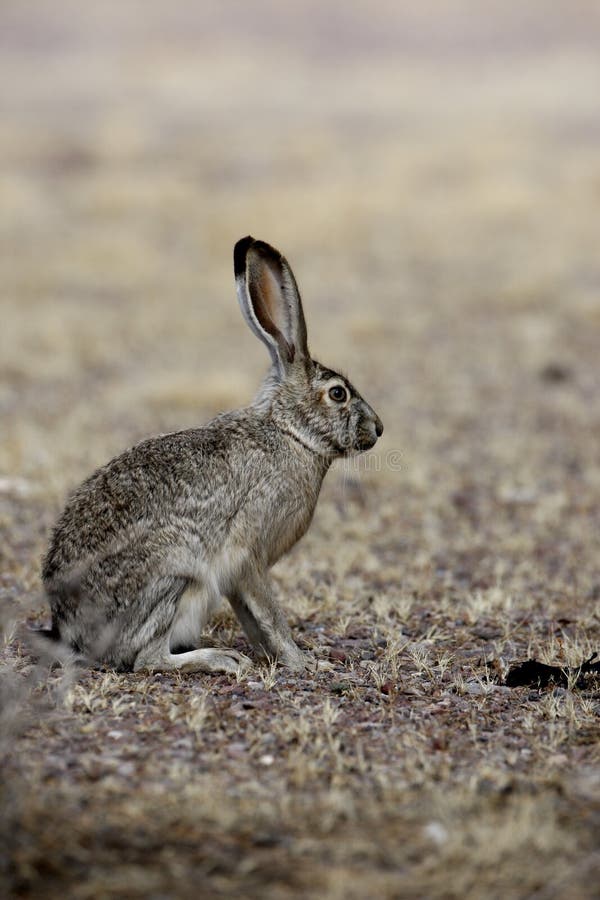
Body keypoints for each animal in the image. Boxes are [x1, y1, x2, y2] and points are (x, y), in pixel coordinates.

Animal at [41, 237, 383, 675]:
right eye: (338, 393)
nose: (378, 429)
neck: (290, 432)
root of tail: (72, 632)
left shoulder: (238, 579)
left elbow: (253, 618)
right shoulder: (248, 553)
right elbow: (271, 614)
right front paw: (303, 662)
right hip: (174, 567)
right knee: (146, 658)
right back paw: (222, 658)